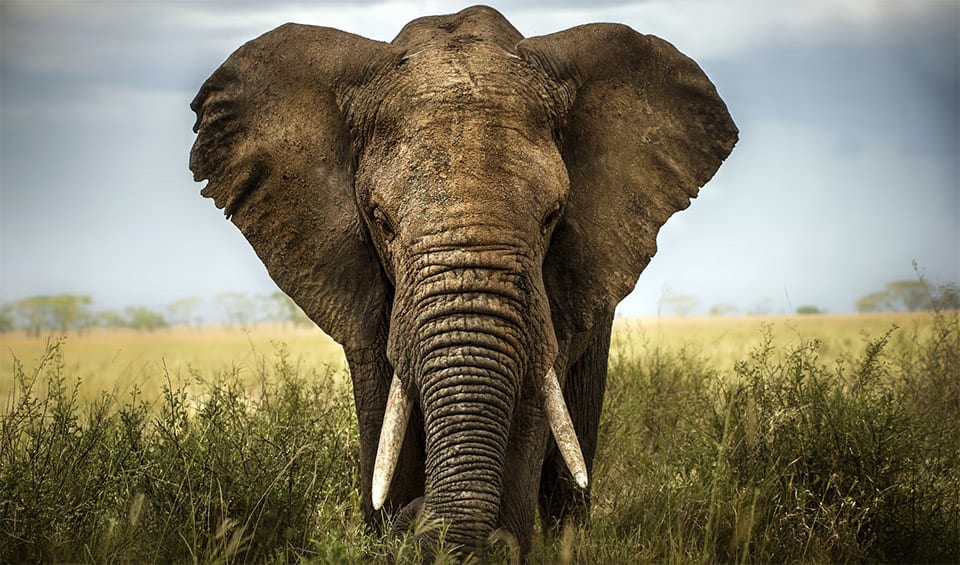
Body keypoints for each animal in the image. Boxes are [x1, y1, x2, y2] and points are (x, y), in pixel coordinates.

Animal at [189, 5, 736, 558]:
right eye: (380, 220)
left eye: (552, 217)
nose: (417, 518)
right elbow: (383, 411)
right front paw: (390, 530)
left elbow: (532, 403)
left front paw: (498, 543)